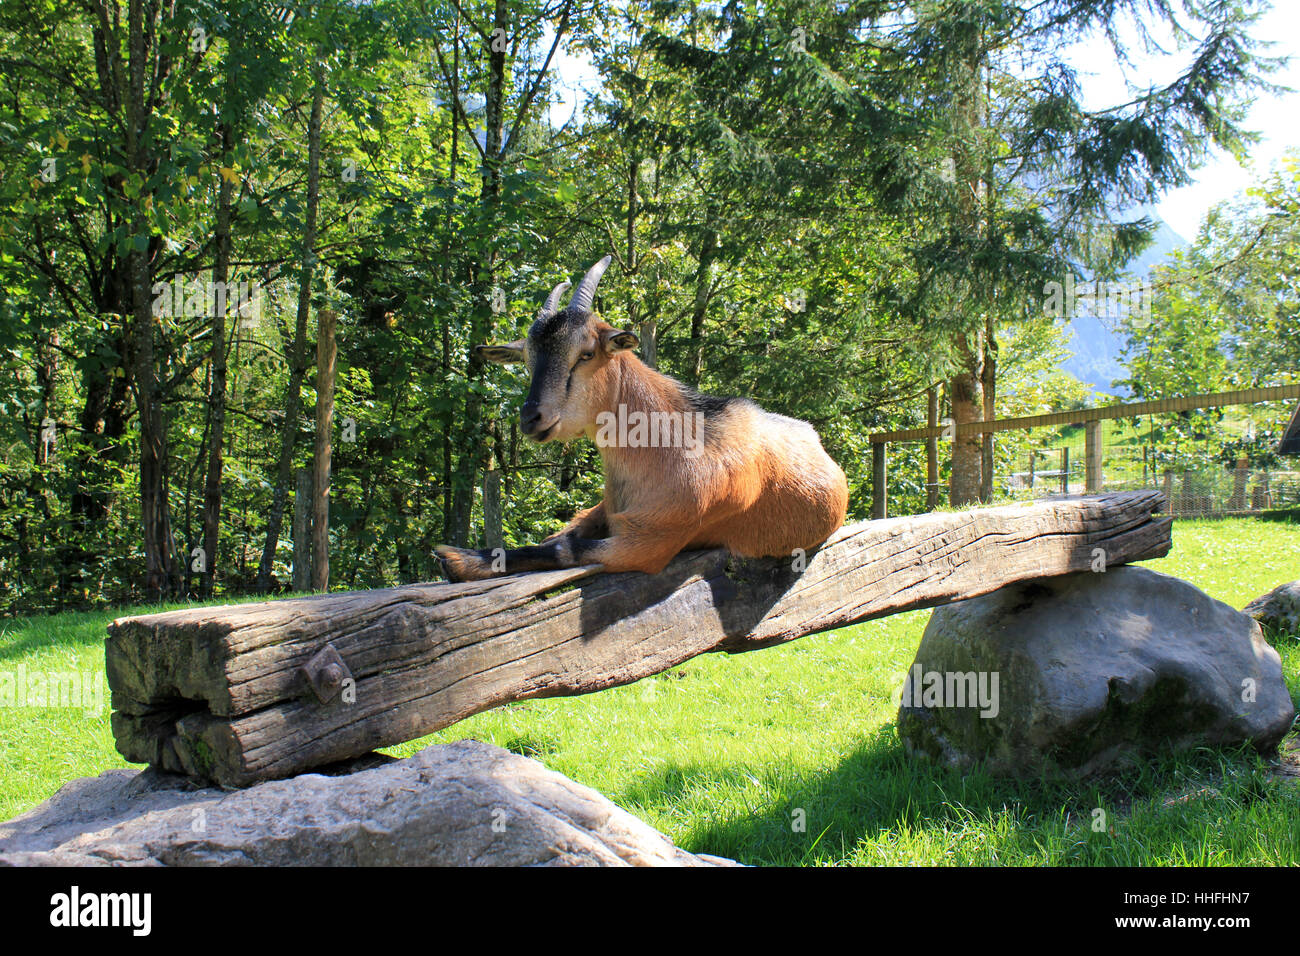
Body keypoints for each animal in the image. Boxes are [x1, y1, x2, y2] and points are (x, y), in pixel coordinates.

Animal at [435, 255, 849, 583]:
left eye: (586, 353)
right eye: (526, 359)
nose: (532, 418)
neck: (667, 446)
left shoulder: (649, 542)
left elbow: (565, 550)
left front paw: (456, 558)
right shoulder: (608, 512)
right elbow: (560, 536)